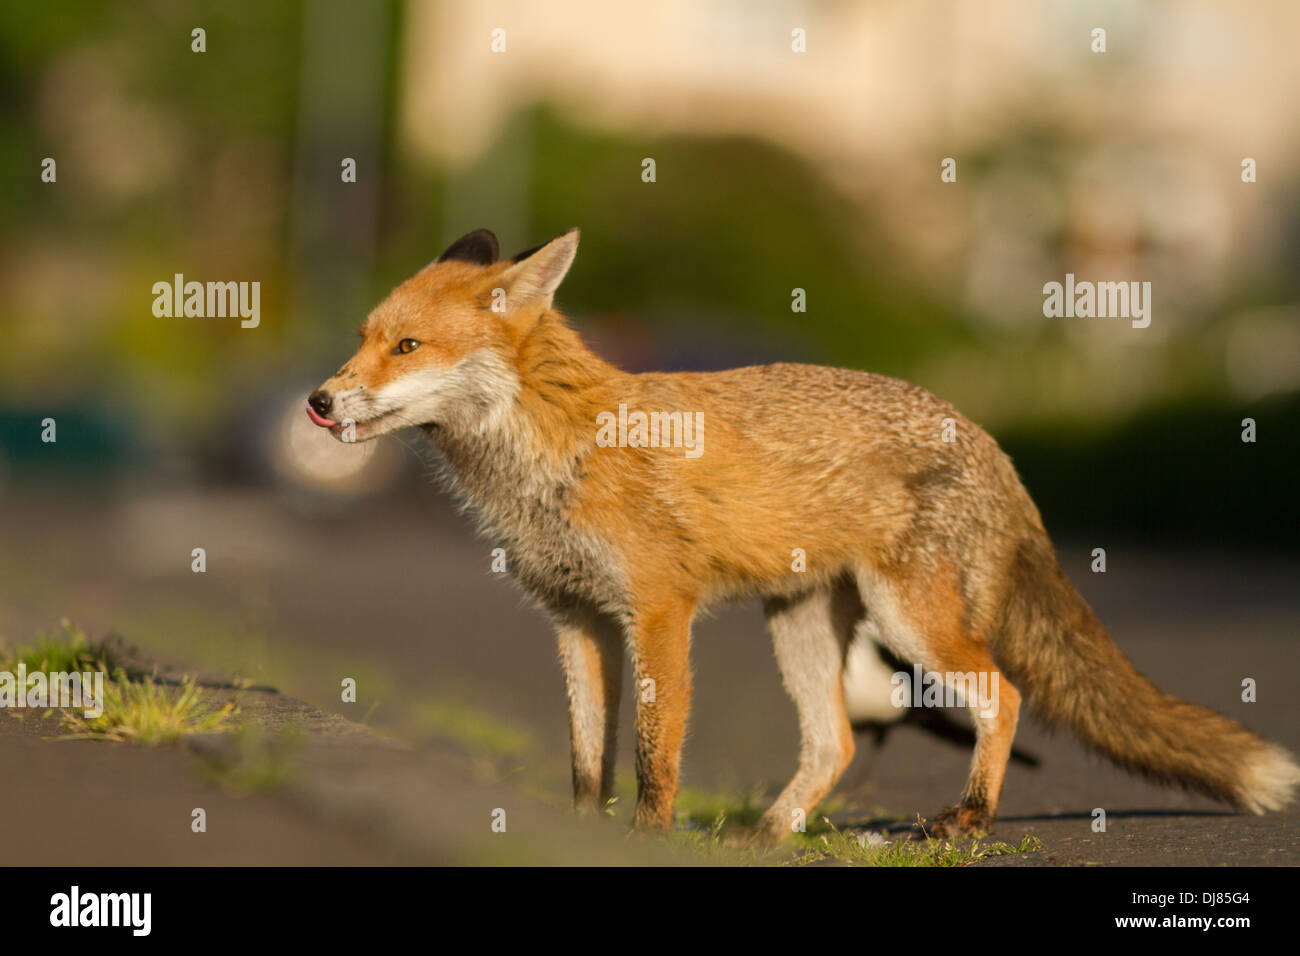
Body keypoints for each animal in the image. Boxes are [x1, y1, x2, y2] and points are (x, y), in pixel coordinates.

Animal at [307, 227, 1300, 839]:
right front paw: (583, 835)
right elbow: (588, 756)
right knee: (838, 743)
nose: (316, 401)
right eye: (361, 338)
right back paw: (772, 833)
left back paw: (968, 820)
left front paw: (646, 838)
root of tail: (989, 440)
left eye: (406, 348)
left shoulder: (658, 613)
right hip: (800, 626)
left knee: (1004, 695)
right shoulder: (576, 619)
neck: (558, 451)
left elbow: (652, 756)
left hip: (908, 622)